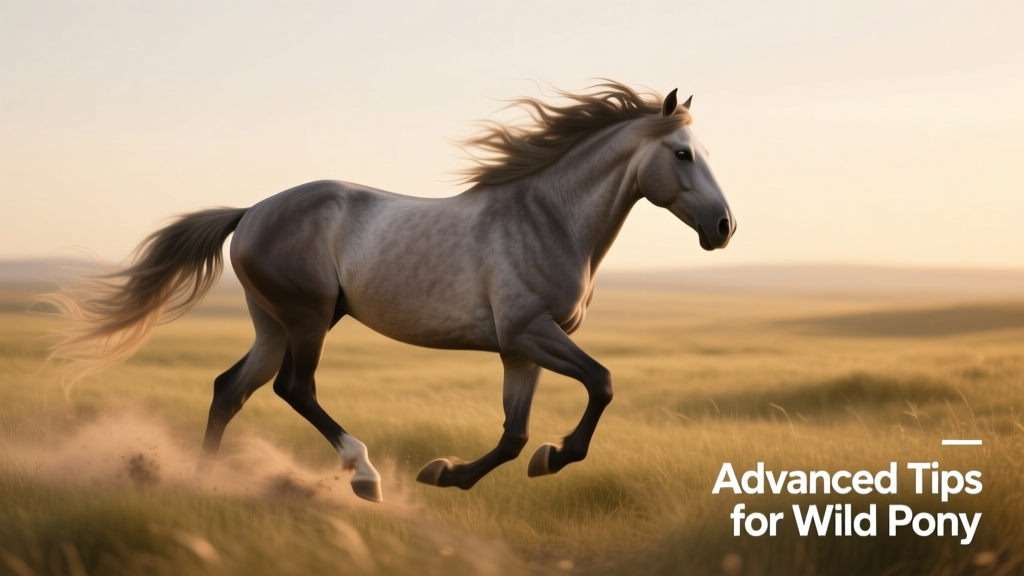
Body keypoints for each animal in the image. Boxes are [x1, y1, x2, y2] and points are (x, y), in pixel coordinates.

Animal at [41, 83, 735, 502]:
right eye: (682, 153)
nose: (725, 227)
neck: (548, 217)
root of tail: (251, 212)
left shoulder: (519, 349)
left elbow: (514, 434)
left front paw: (452, 473)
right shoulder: (529, 332)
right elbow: (603, 383)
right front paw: (550, 455)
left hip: (274, 324)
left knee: (229, 389)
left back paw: (202, 484)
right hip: (307, 319)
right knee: (294, 388)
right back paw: (364, 476)